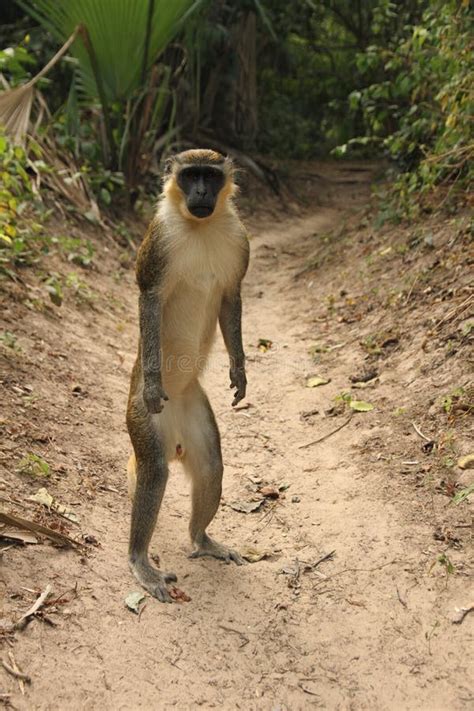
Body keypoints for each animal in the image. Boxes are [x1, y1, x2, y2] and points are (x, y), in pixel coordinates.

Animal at [126, 149, 249, 602]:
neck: (199, 227)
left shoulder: (238, 240)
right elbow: (149, 297)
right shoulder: (158, 240)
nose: (199, 193)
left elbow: (231, 297)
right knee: (154, 472)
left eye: (209, 178)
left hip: (195, 409)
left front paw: (240, 371)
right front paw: (154, 381)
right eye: (190, 175)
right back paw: (140, 560)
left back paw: (202, 538)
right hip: (143, 419)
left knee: (211, 465)